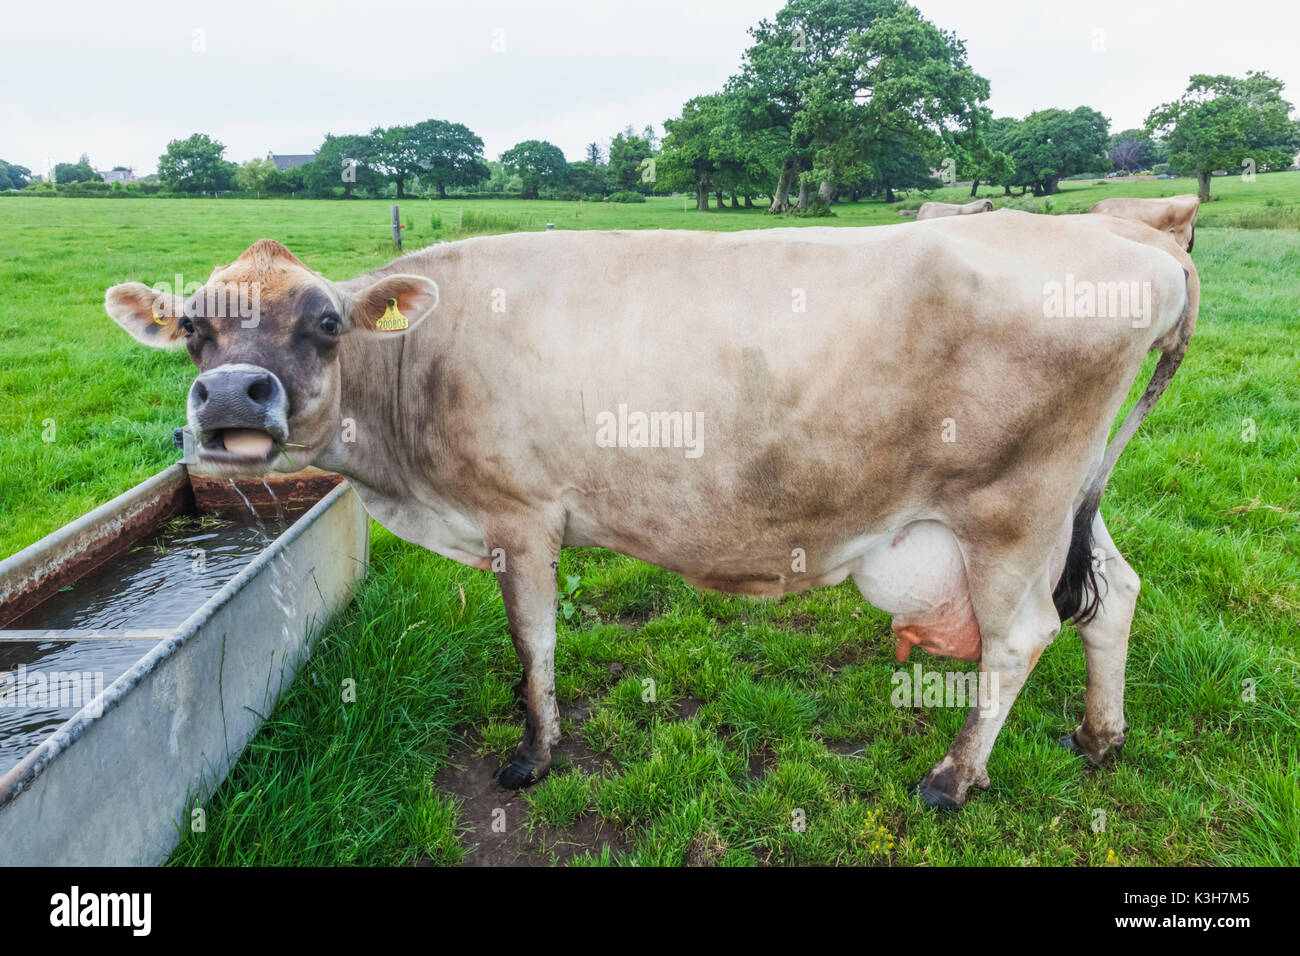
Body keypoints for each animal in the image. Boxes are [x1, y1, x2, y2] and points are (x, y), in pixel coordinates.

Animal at [103, 210, 1197, 811]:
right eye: (192, 325)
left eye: (327, 321)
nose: (233, 398)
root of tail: (1128, 232)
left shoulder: (520, 513)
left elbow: (532, 640)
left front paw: (535, 754)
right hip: (1063, 502)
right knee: (1111, 594)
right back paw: (1100, 736)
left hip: (1010, 507)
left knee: (1021, 634)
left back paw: (953, 776)